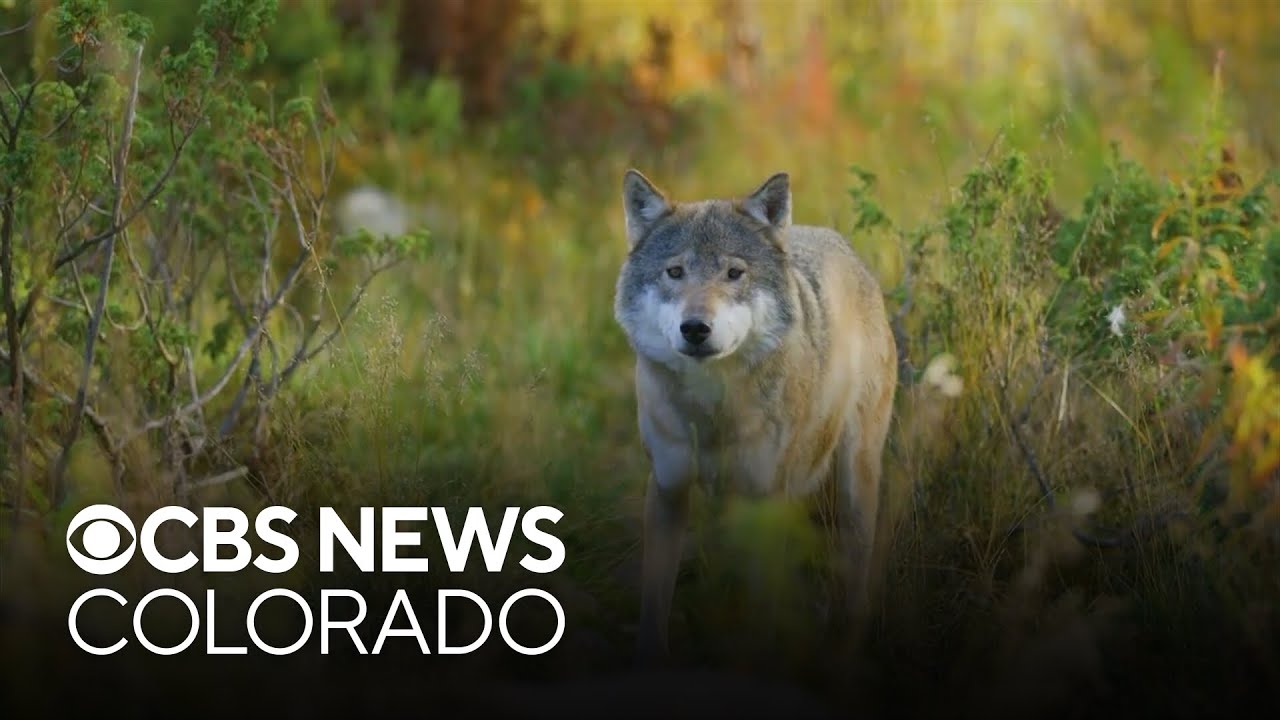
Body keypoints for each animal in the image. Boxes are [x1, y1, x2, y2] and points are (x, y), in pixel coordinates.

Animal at [613, 169, 898, 661]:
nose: (695, 328)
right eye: (675, 271)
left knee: (855, 584)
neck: (712, 410)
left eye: (734, 273)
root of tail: (841, 245)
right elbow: (655, 601)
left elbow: (762, 607)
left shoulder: (767, 498)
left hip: (853, 485)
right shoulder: (668, 491)